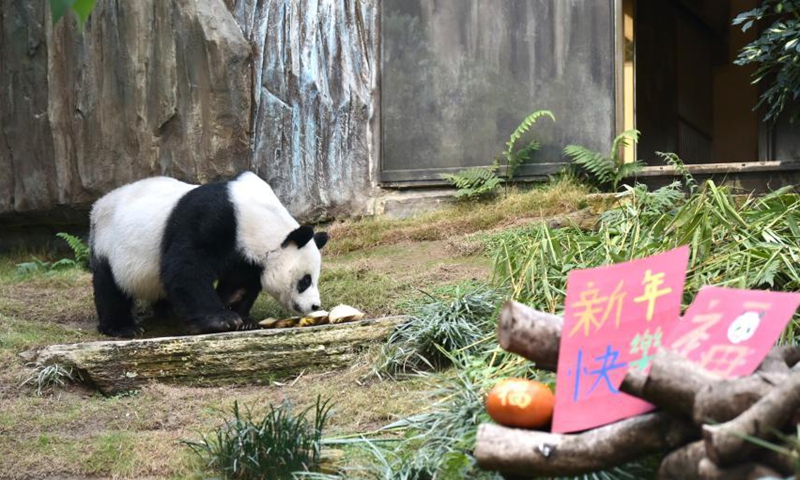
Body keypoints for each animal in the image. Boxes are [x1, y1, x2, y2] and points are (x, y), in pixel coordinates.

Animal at [89, 171, 328, 337]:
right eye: (305, 281)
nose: (315, 306)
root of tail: (98, 204)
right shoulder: (210, 219)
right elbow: (185, 268)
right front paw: (223, 320)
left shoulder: (243, 251)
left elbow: (239, 282)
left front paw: (241, 317)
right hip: (108, 245)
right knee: (110, 287)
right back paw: (123, 327)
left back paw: (167, 311)